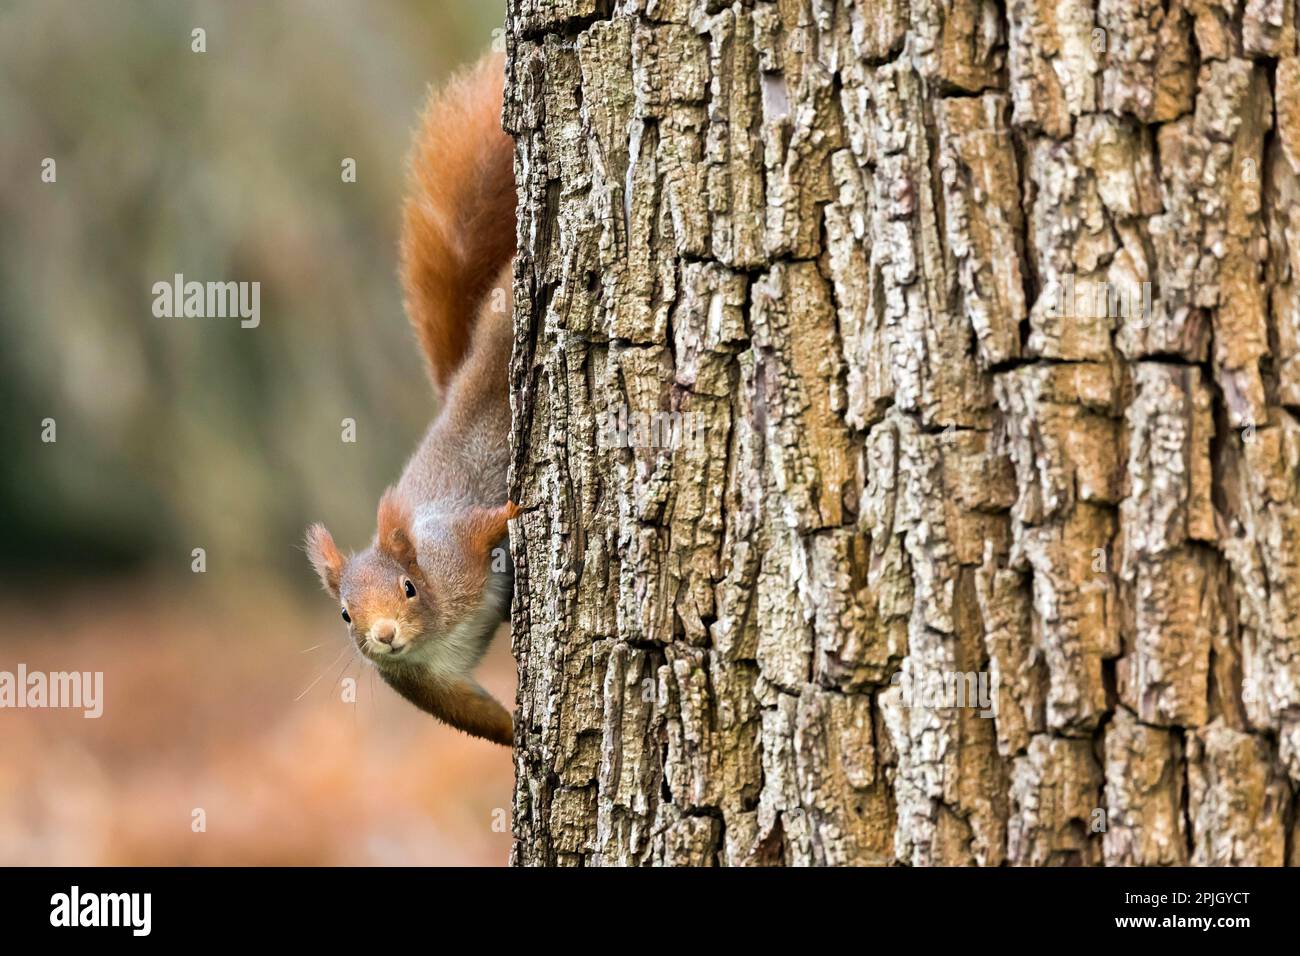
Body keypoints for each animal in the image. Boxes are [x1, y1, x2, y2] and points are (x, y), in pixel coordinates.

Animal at [305, 52, 517, 747]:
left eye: (408, 587)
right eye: (344, 615)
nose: (385, 636)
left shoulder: (455, 552)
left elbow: (487, 524)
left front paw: (517, 506)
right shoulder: (424, 683)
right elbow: (474, 715)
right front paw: (520, 738)